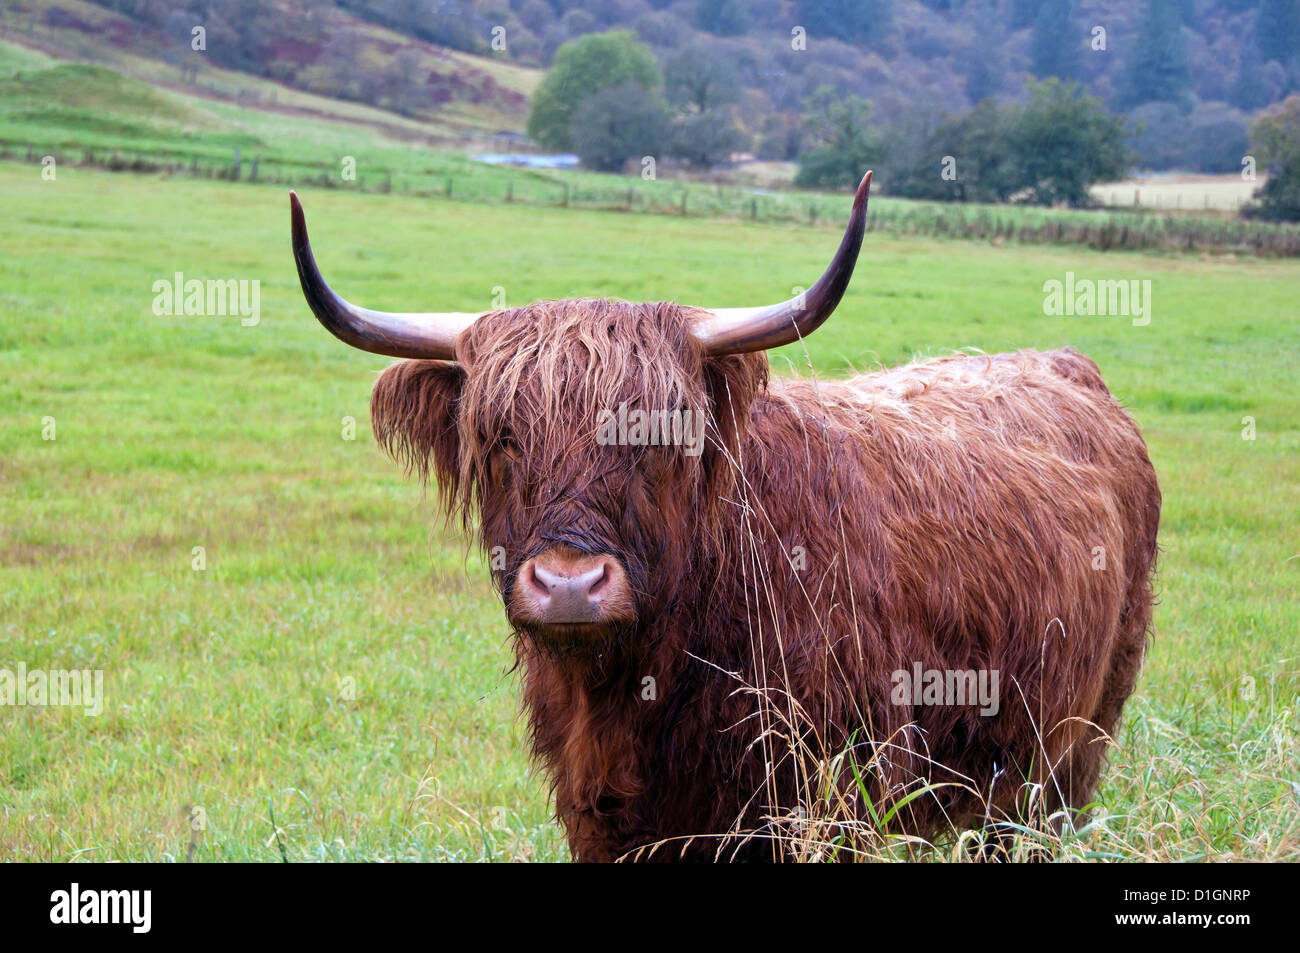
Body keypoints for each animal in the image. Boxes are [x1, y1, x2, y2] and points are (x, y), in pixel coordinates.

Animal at [289, 173, 1160, 861]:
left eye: (661, 436)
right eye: (499, 436)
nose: (569, 585)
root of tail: (1063, 364)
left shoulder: (829, 796)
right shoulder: (601, 815)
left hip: (1066, 761)